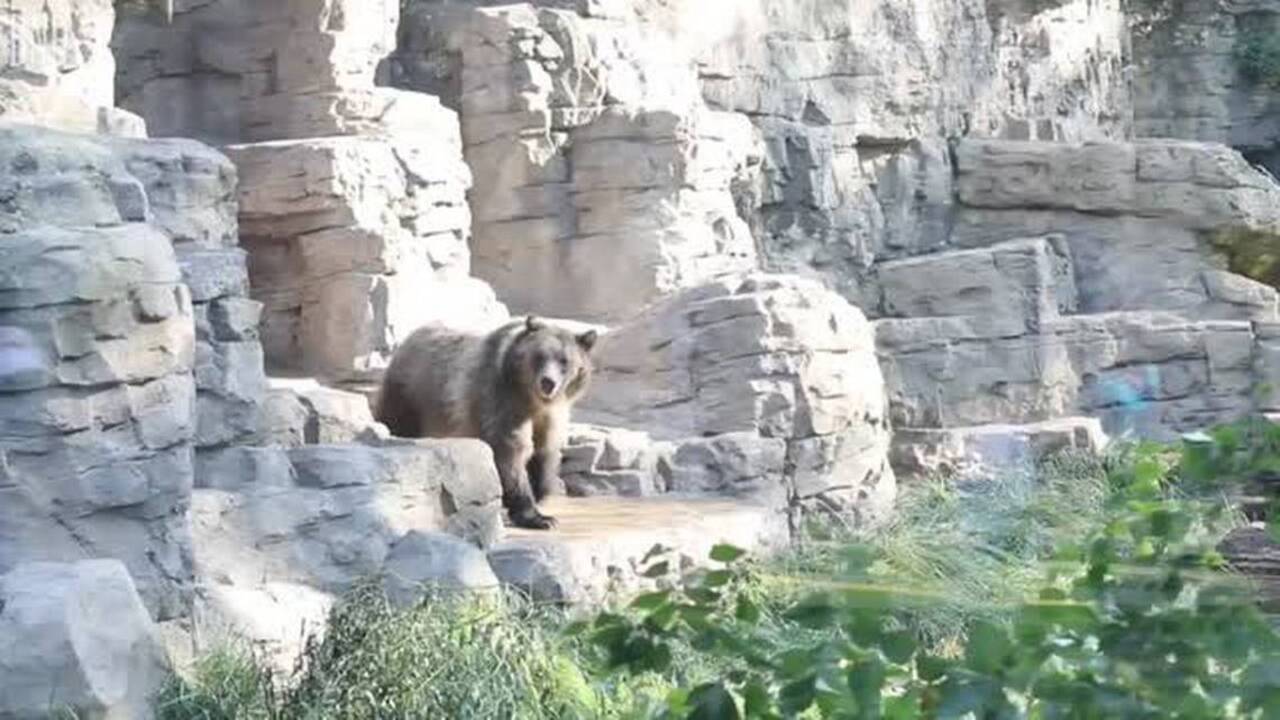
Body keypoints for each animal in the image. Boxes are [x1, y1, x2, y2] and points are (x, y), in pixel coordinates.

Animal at [374, 315, 598, 530]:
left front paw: (541, 492)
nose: (548, 382)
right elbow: (511, 453)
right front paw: (538, 517)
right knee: (398, 422)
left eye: (564, 361)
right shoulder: (501, 401)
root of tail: (409, 339)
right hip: (413, 397)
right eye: (539, 356)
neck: (532, 400)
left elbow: (544, 450)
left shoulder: (552, 415)